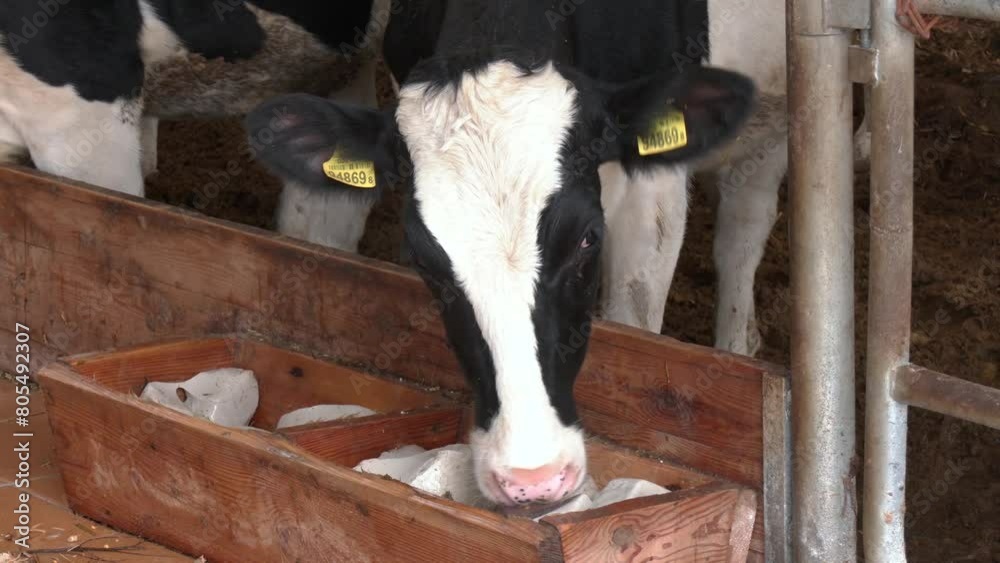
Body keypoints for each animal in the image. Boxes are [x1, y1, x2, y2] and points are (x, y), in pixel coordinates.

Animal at [245, 0, 763, 507]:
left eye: (587, 238)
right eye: (421, 258)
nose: (533, 480)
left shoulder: (652, 192)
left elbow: (636, 310)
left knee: (742, 233)